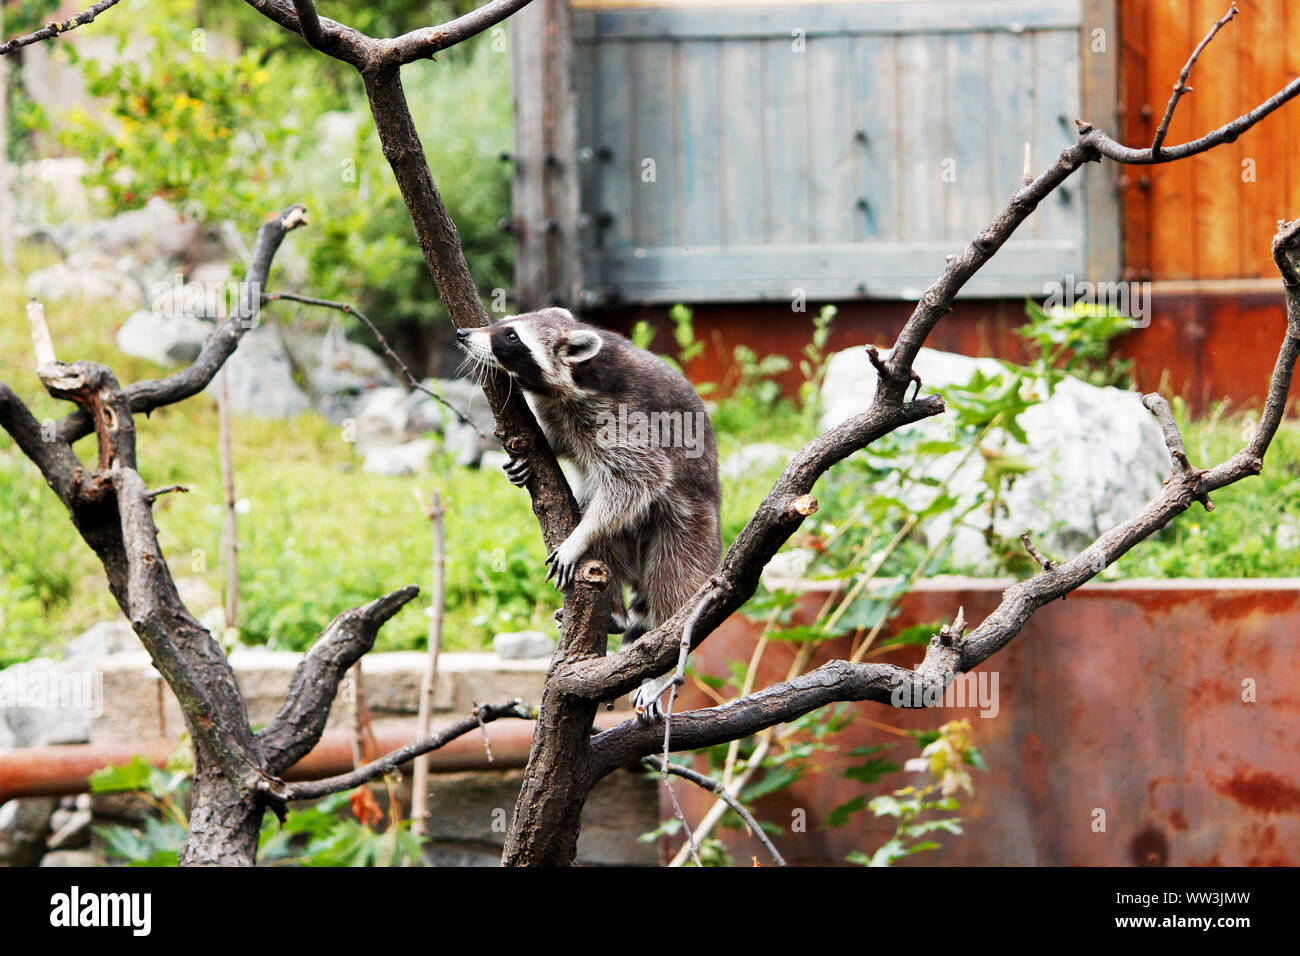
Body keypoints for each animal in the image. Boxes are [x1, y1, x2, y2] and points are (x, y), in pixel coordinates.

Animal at [456, 308, 721, 714]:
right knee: (600, 525)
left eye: (511, 335)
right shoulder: (561, 411)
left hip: (691, 526)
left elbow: (641, 477)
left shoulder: (625, 416)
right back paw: (614, 609)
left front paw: (579, 537)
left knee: (674, 590)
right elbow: (559, 442)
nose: (463, 333)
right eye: (504, 323)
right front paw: (526, 458)